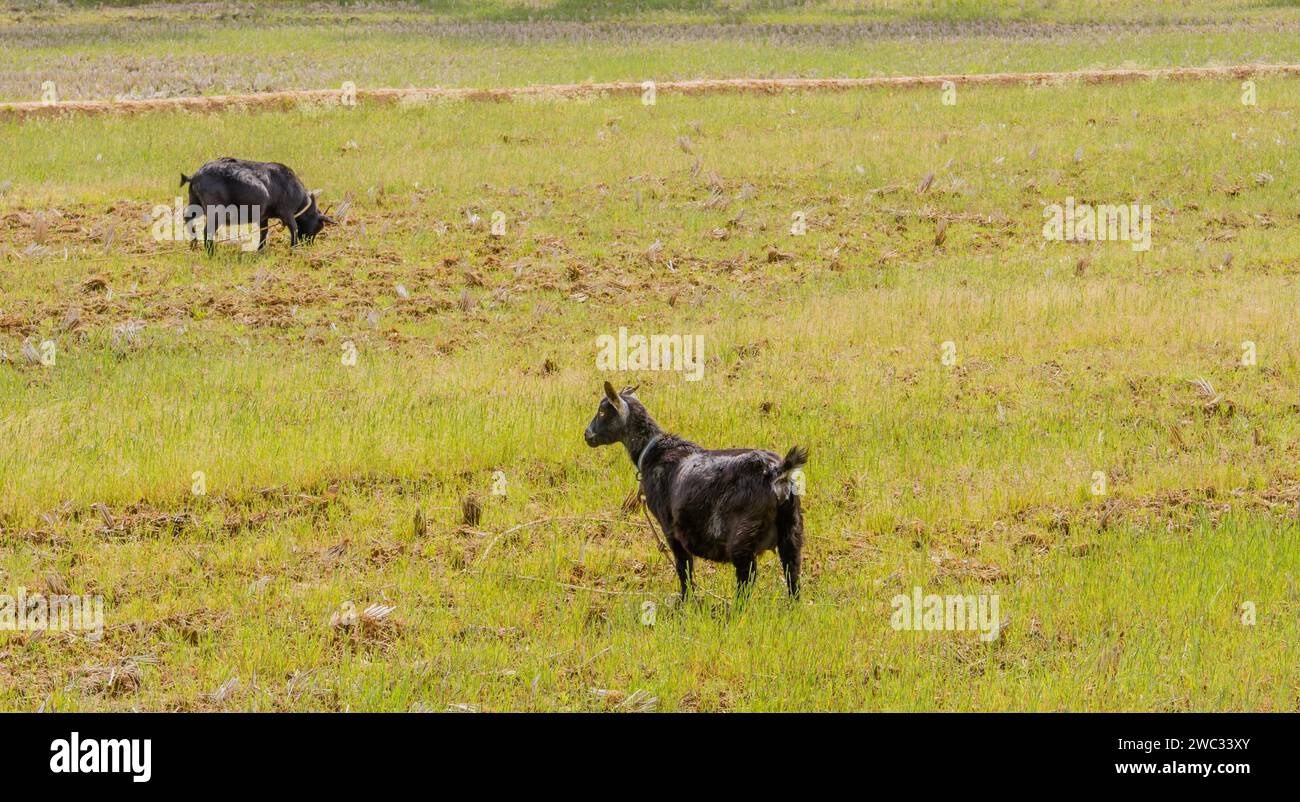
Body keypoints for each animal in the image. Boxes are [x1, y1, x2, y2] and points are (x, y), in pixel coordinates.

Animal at [584, 381, 807, 600]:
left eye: (602, 412)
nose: (587, 435)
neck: (652, 452)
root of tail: (777, 472)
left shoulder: (672, 530)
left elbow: (684, 570)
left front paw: (685, 602)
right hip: (792, 533)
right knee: (793, 578)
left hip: (743, 538)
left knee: (746, 580)